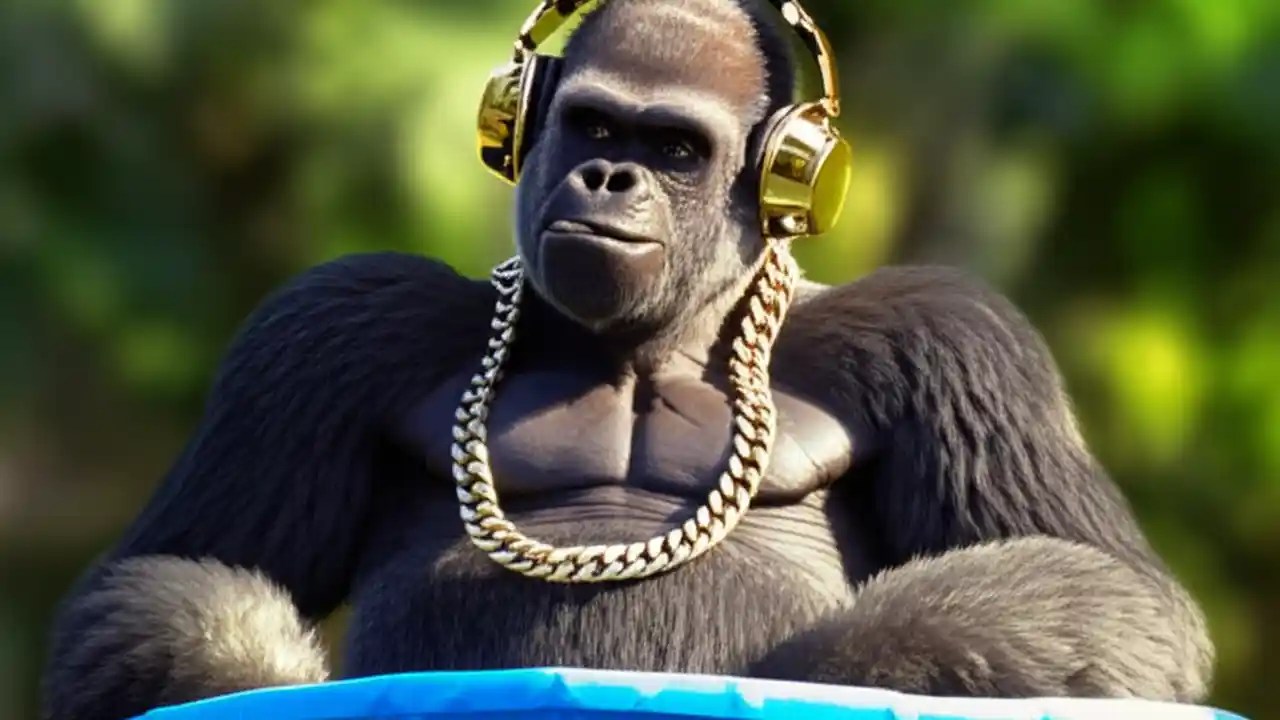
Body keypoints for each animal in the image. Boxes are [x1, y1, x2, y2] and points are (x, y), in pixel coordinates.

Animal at [41, 1, 1214, 718]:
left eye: (674, 149)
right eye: (596, 123)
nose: (608, 177)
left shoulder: (949, 336)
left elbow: (1118, 601)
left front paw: (822, 668)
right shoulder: (336, 322)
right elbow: (166, 575)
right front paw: (271, 671)